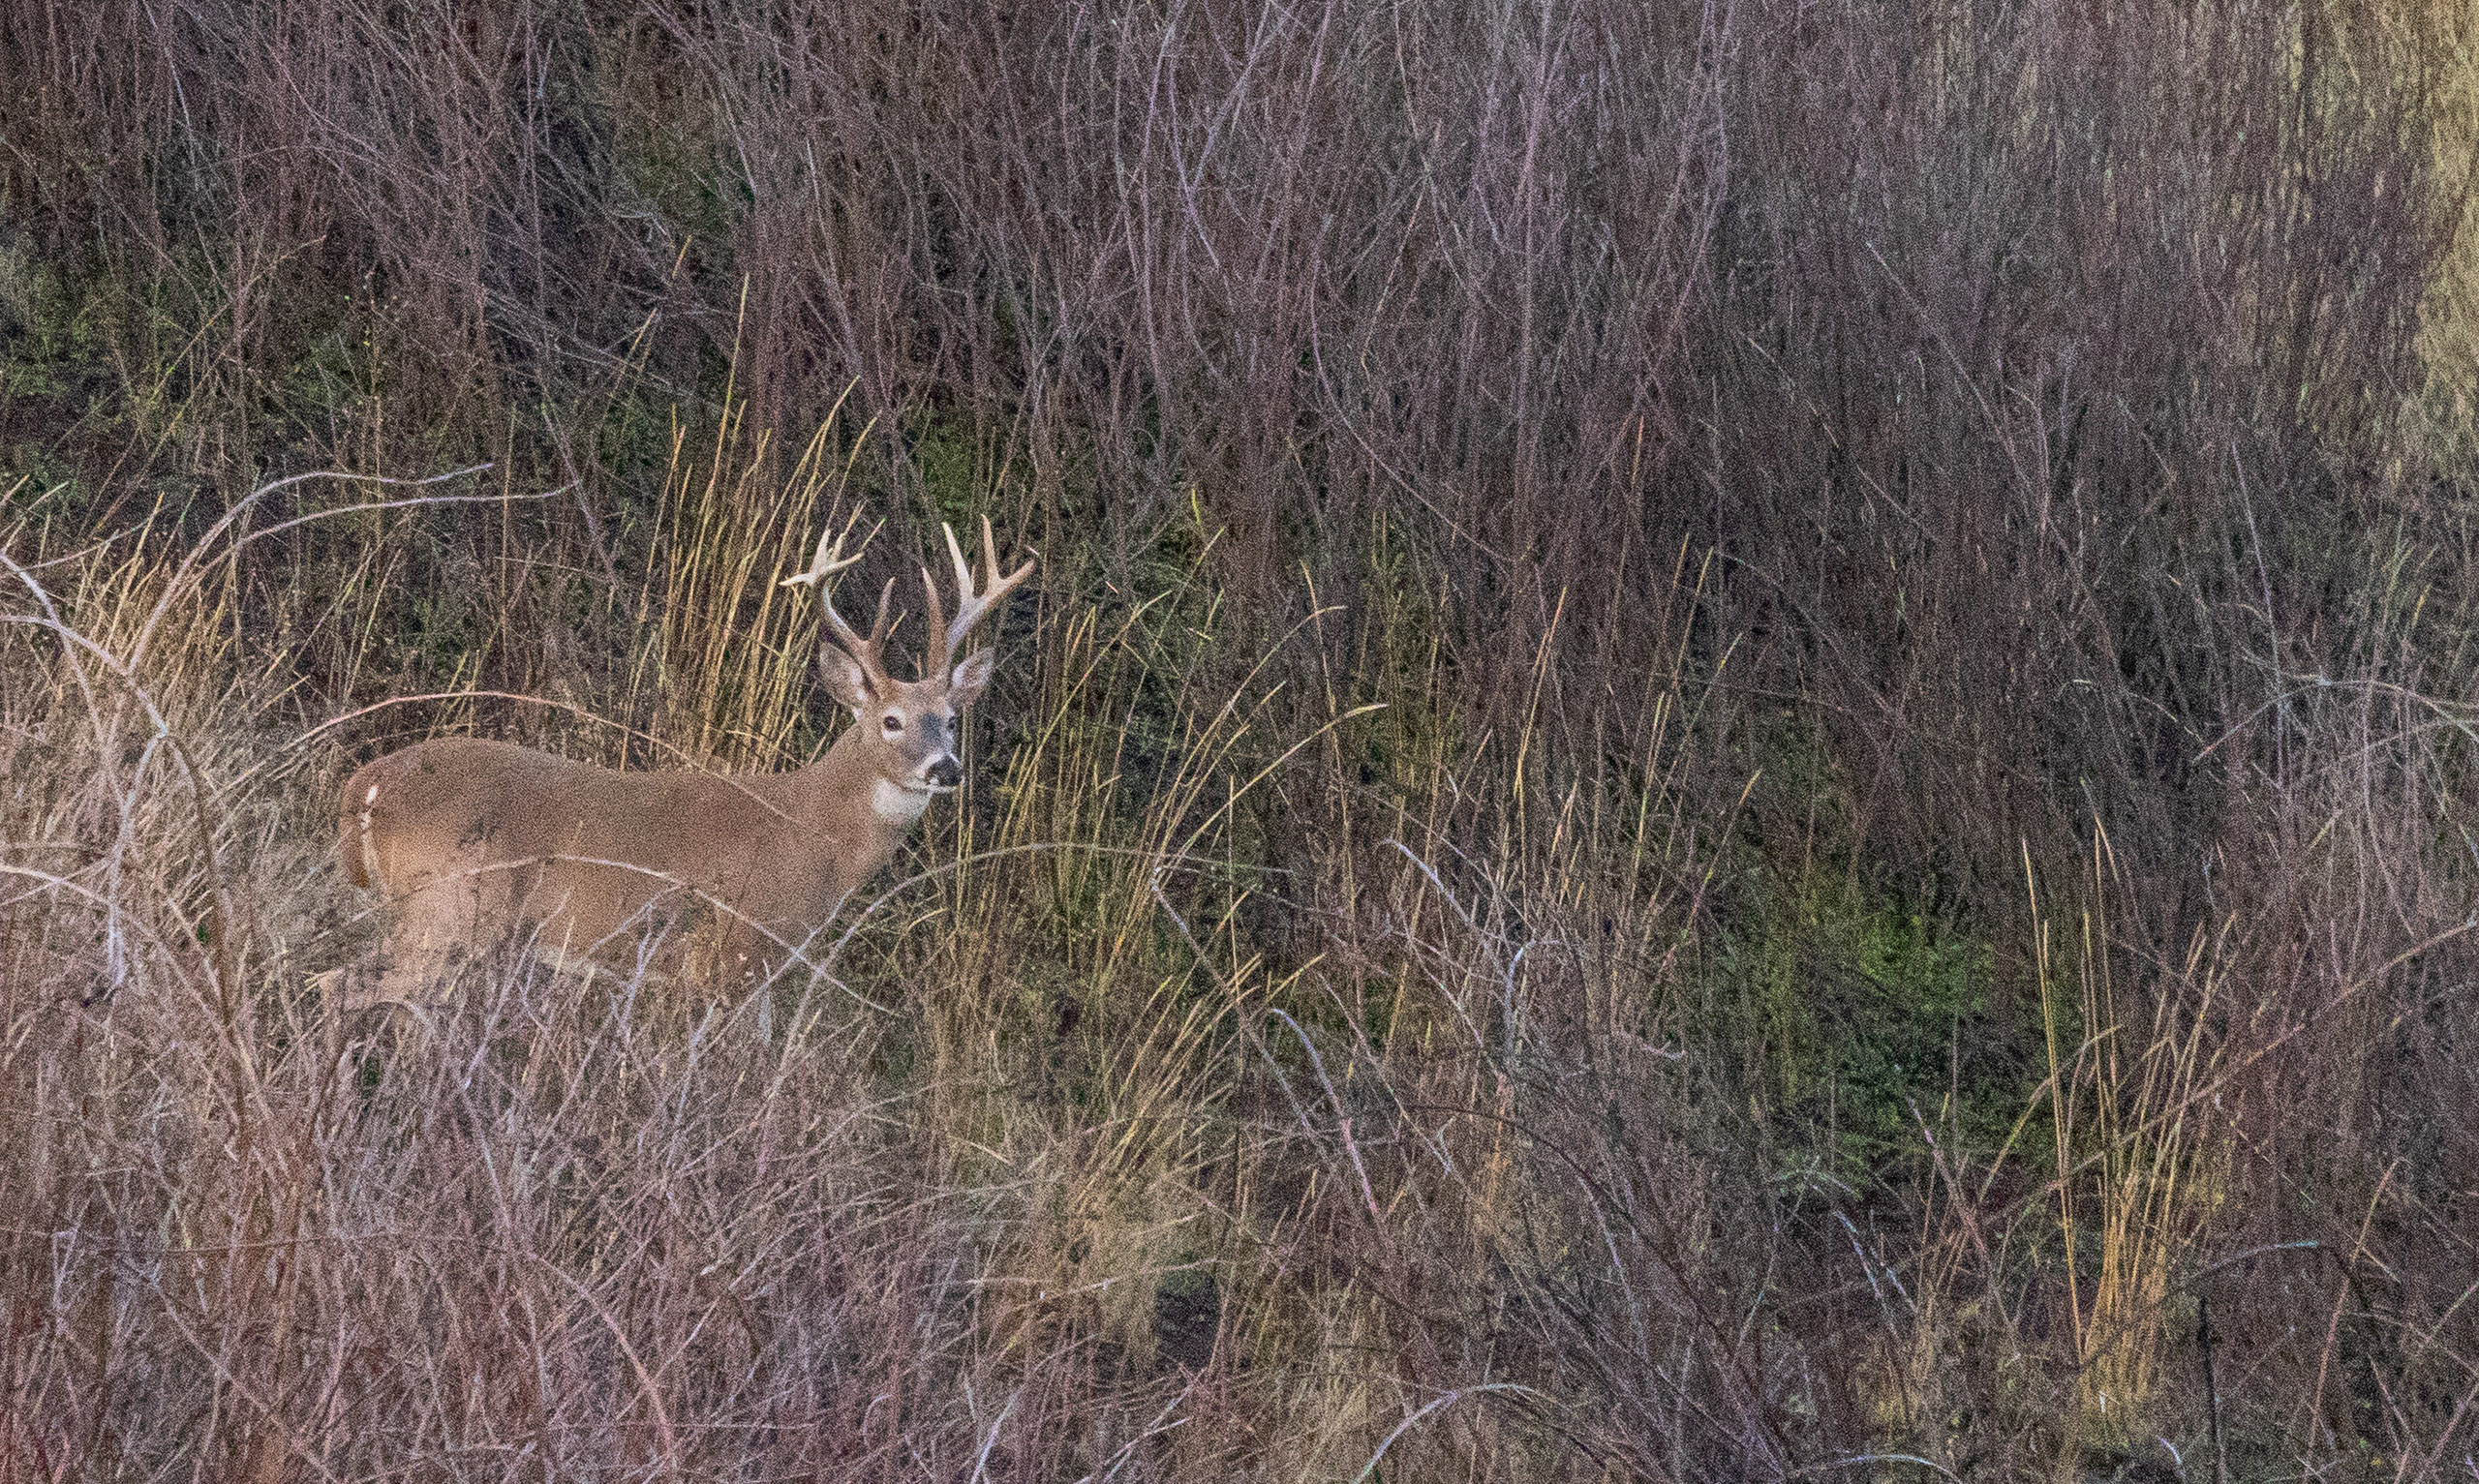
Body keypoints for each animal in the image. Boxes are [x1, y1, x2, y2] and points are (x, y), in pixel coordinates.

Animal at [318, 513, 1035, 1012]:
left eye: (951, 718)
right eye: (891, 720)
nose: (946, 768)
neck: (812, 834)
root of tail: (367, 784)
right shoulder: (730, 953)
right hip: (447, 908)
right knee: (340, 985)